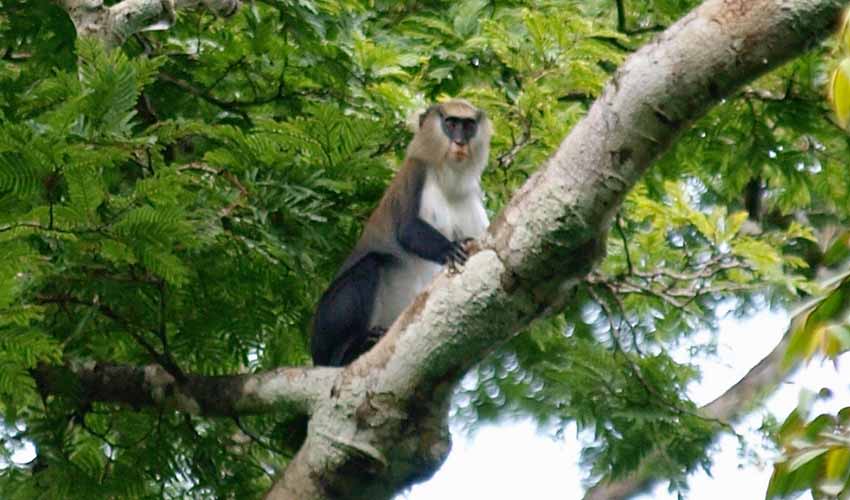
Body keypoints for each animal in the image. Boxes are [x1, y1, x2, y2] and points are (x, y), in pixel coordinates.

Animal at [310, 99, 492, 367]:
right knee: (369, 266)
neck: (448, 178)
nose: (460, 141)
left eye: (468, 126)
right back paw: (349, 352)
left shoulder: (473, 195)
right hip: (327, 323)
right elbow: (407, 230)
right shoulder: (416, 173)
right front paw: (450, 249)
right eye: (450, 124)